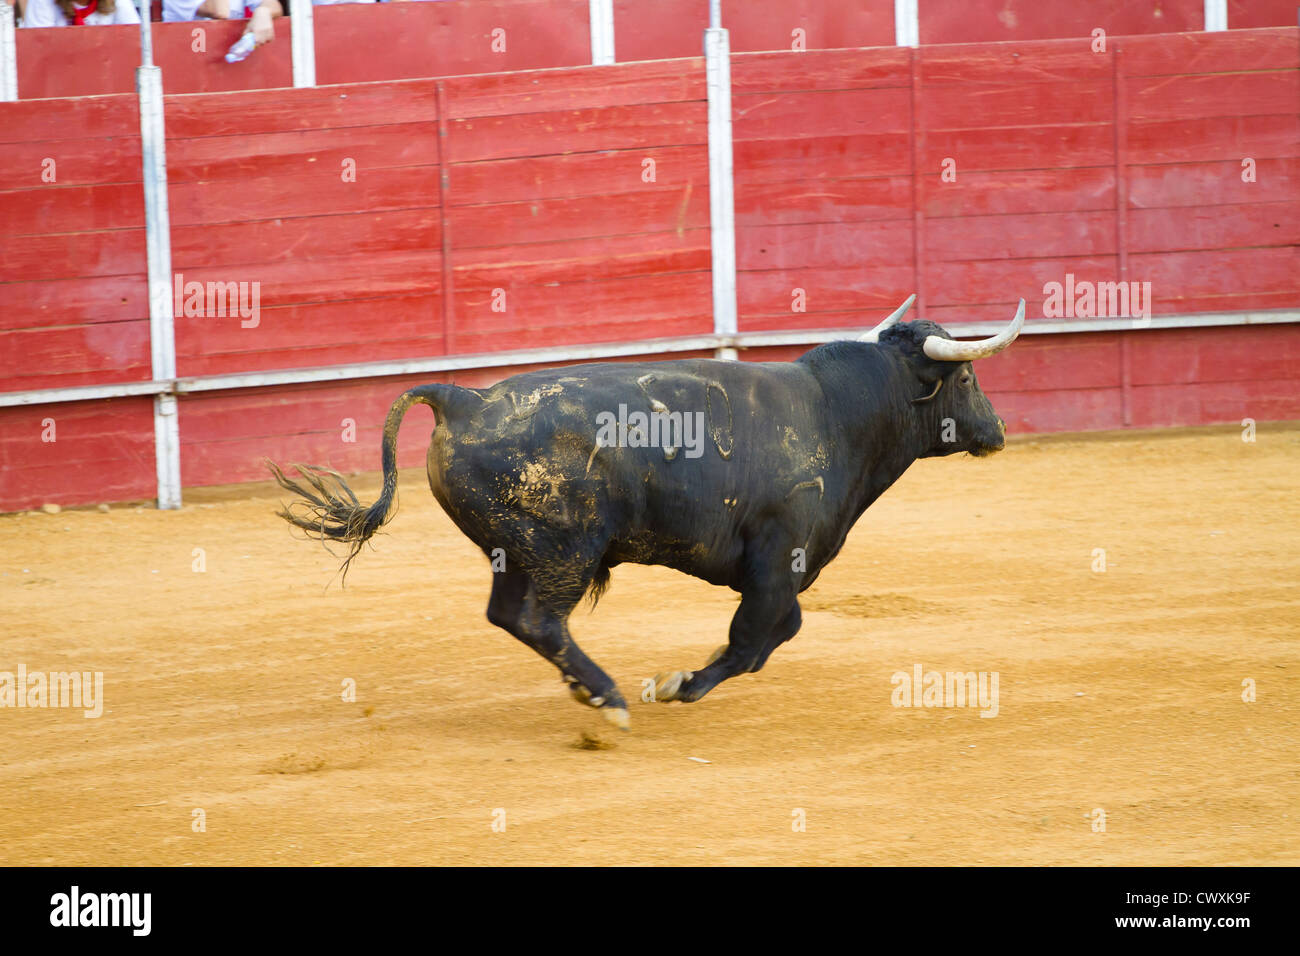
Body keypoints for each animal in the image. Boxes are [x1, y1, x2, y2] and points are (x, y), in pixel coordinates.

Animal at [269, 295, 1025, 730]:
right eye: (966, 375)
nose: (997, 432)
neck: (836, 413)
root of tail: (465, 399)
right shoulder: (778, 559)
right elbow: (755, 638)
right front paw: (678, 684)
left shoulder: (778, 570)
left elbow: (775, 633)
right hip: (564, 550)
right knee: (539, 620)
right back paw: (609, 698)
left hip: (518, 553)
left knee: (510, 616)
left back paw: (586, 690)